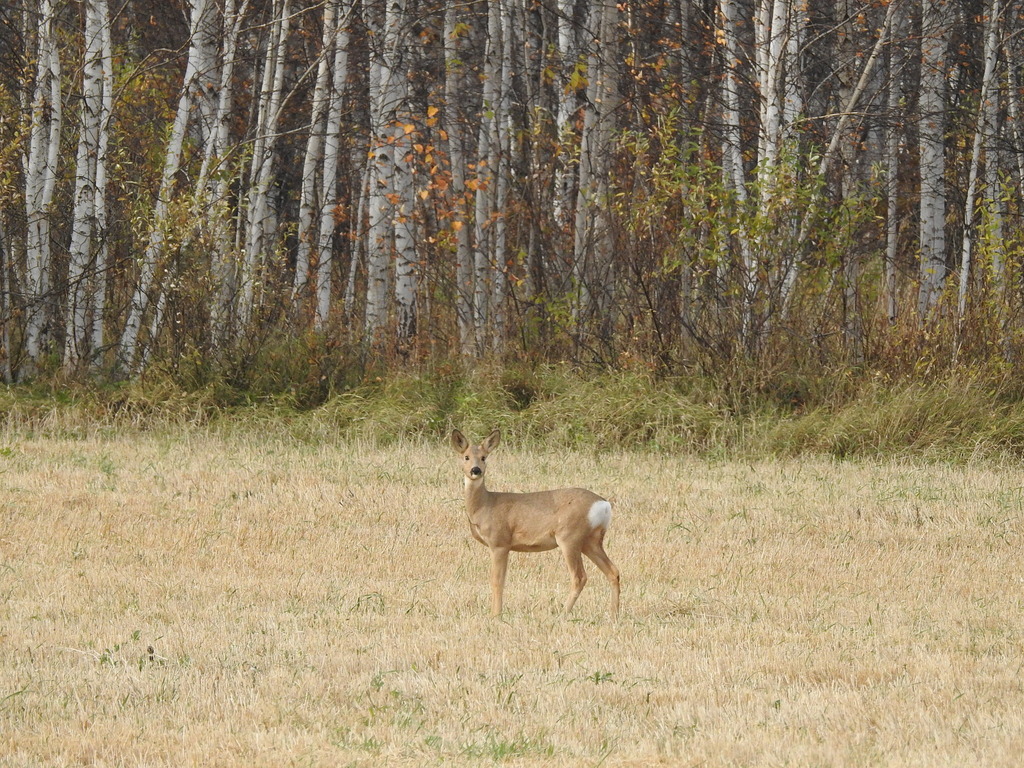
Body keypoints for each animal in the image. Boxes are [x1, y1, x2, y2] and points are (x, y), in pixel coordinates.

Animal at [450, 428, 620, 618]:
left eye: (484, 457)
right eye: (466, 457)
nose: (476, 470)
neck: (485, 505)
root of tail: (604, 505)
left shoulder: (499, 542)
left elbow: (497, 581)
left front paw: (495, 615)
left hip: (569, 537)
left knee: (579, 576)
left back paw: (563, 613)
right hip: (591, 540)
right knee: (613, 571)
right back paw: (614, 613)